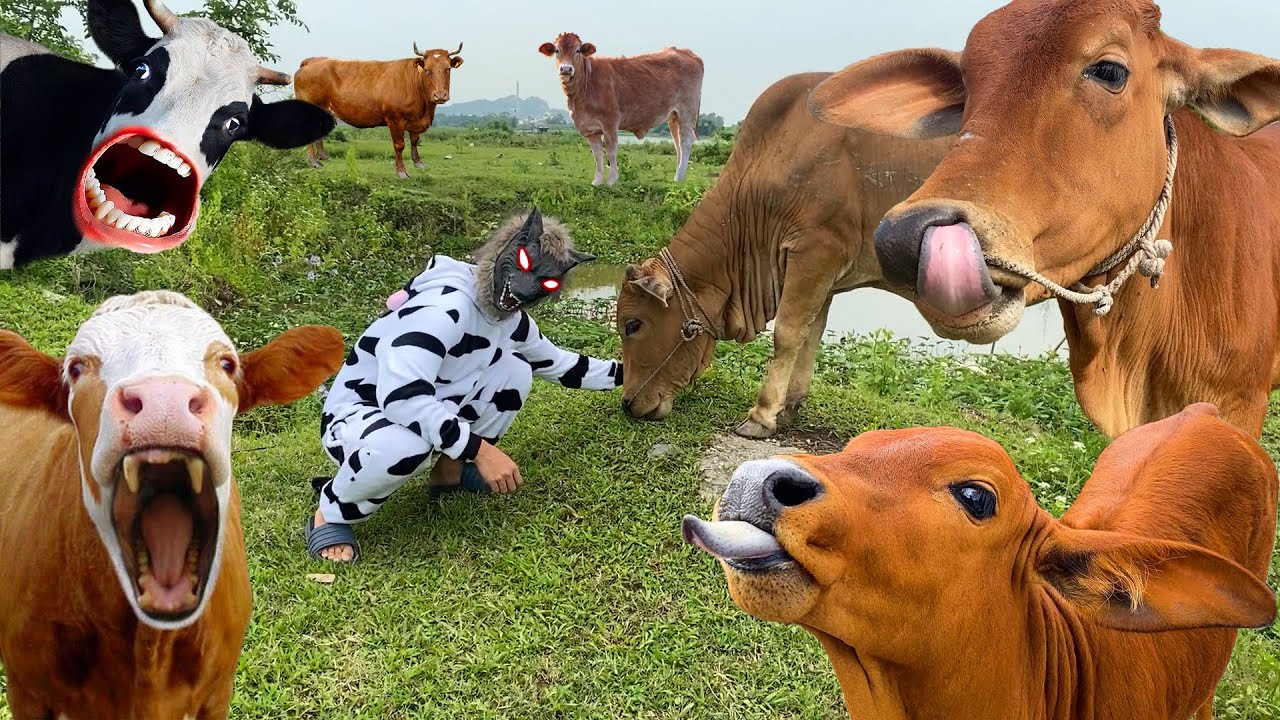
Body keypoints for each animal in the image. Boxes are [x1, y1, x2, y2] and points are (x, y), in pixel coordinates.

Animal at [0, 291, 345, 718]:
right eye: (77, 368)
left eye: (227, 364)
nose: (163, 398)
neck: (151, 648)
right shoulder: (26, 689)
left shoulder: (218, 692)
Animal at [294, 43, 464, 179]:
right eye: (427, 70)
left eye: (448, 69)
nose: (440, 95)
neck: (425, 109)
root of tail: (312, 61)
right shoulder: (395, 119)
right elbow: (399, 145)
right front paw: (401, 171)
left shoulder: (415, 120)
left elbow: (415, 141)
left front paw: (418, 163)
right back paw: (314, 162)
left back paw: (323, 157)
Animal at [538, 32, 704, 186]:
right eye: (557, 50)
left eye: (577, 50)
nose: (566, 69)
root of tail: (687, 53)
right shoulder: (590, 128)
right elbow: (597, 154)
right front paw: (597, 181)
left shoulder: (610, 121)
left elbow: (611, 150)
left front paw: (612, 179)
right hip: (674, 117)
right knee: (677, 143)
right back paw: (678, 176)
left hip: (686, 112)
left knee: (686, 141)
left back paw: (679, 175)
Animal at [617, 73, 953, 438]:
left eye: (632, 325)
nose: (627, 403)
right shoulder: (824, 274)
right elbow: (810, 336)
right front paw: (790, 405)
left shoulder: (816, 252)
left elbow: (787, 335)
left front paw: (761, 415)